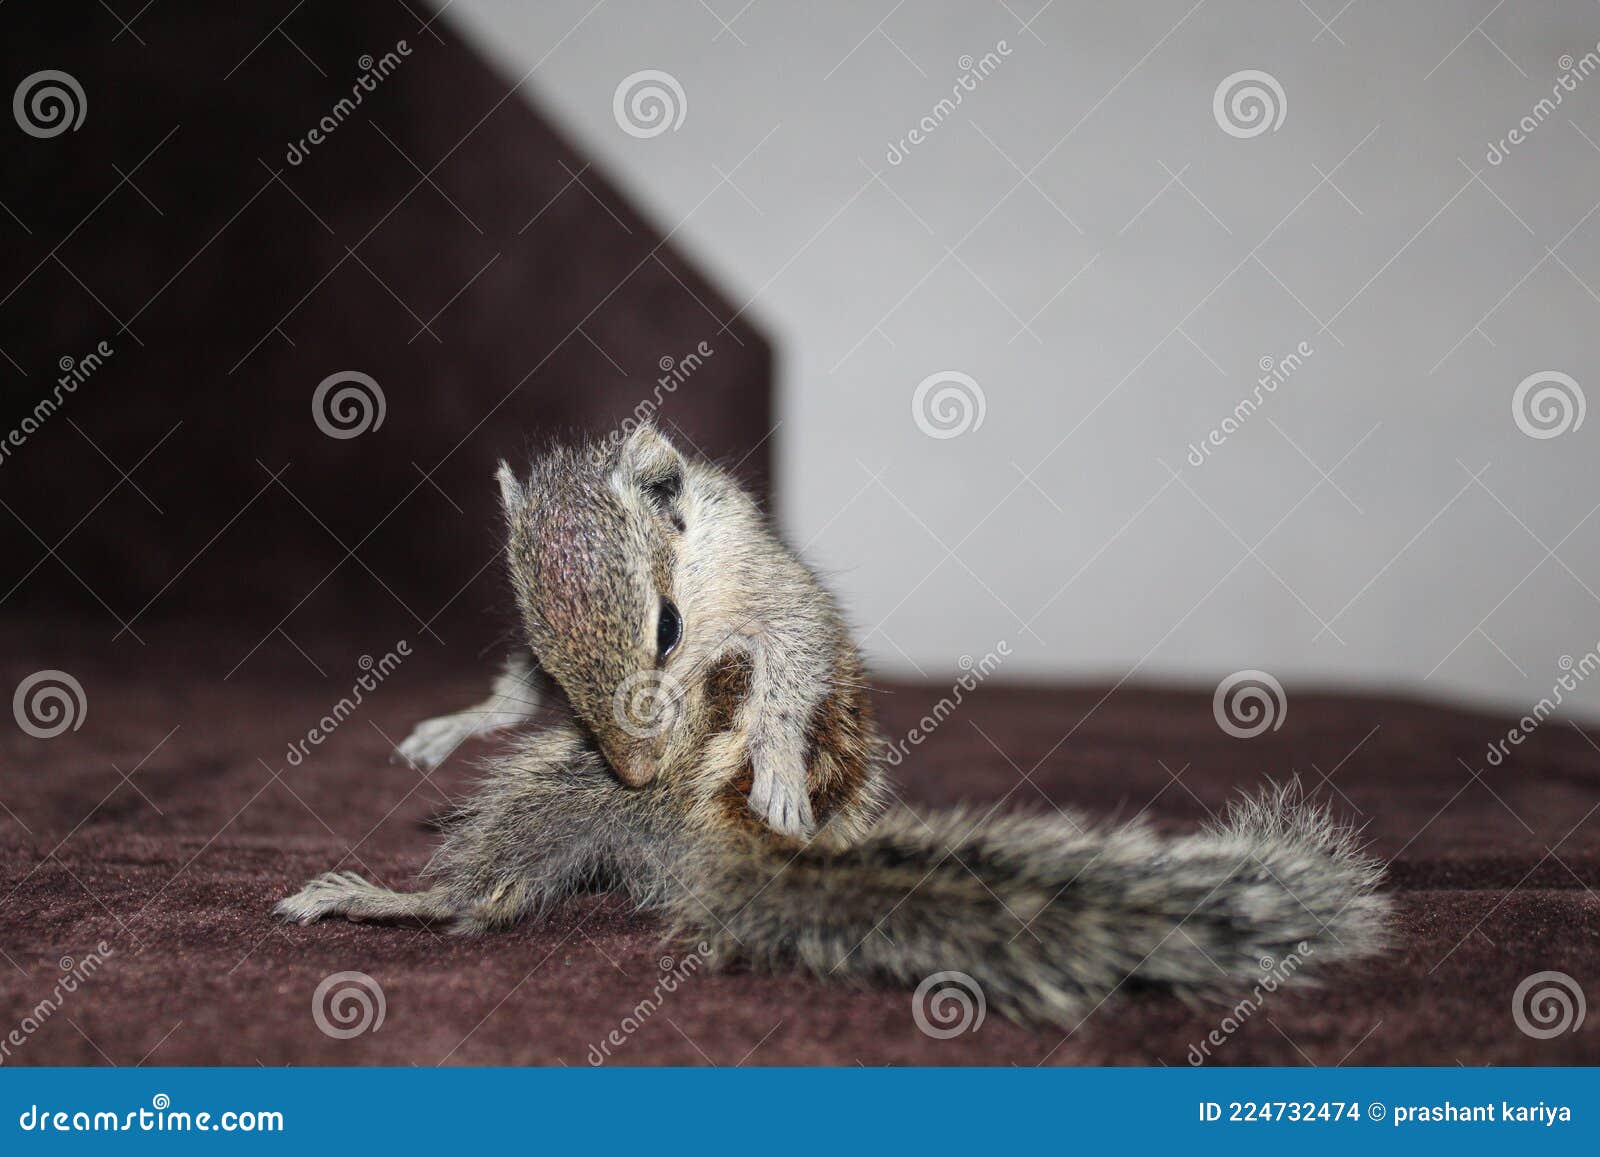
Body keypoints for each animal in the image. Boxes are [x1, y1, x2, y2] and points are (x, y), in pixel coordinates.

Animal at [276, 423, 1389, 1025]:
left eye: (666, 624)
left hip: (562, 790)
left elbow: (787, 673)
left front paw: (774, 758)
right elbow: (509, 695)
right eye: (548, 659)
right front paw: (462, 717)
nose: (633, 766)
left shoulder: (777, 602)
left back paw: (368, 896)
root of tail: (712, 840)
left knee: (481, 898)